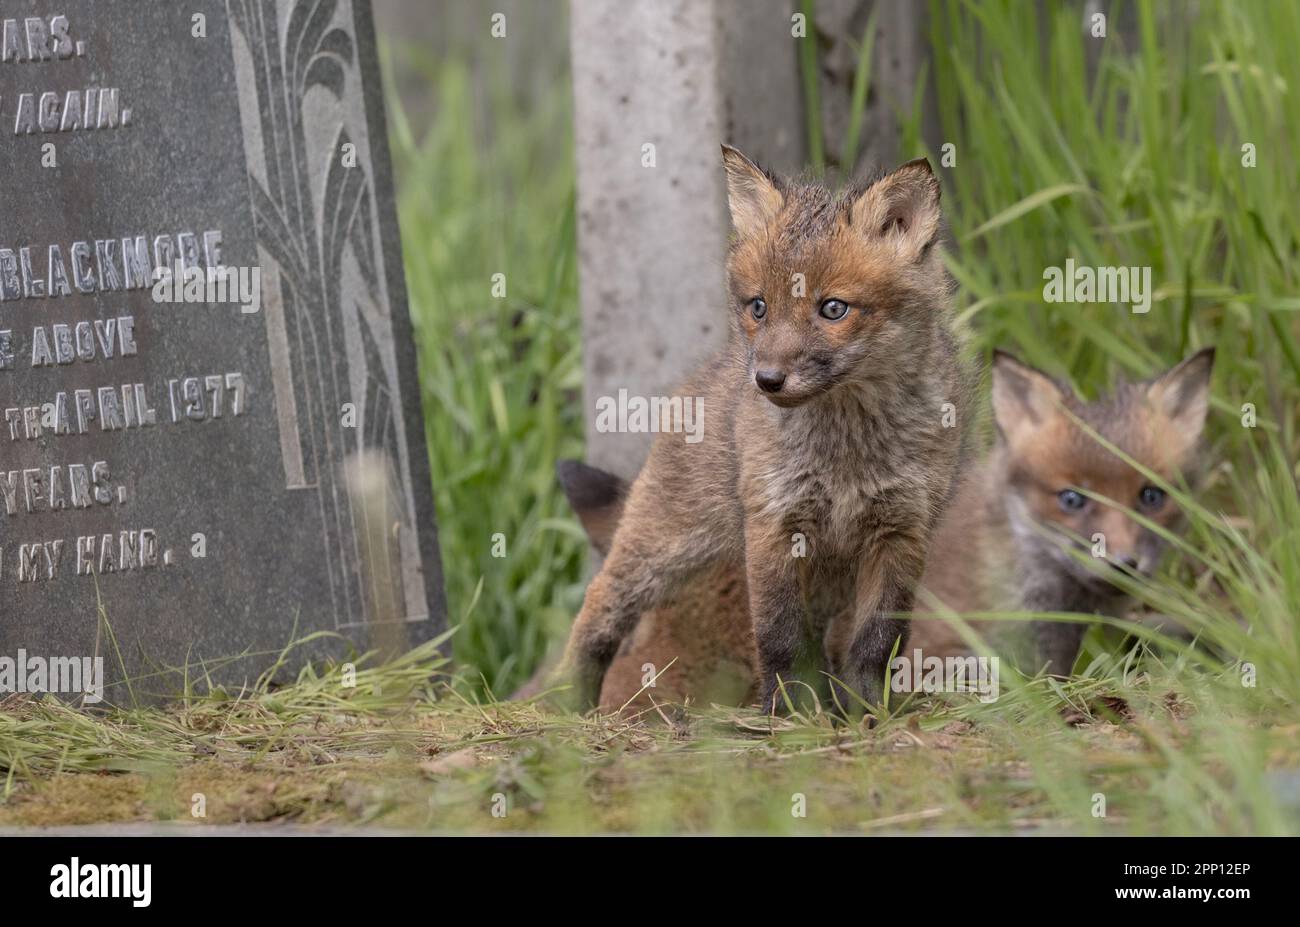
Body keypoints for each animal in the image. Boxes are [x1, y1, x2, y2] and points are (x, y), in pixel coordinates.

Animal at [553, 145, 971, 714]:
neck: (846, 448)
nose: (767, 379)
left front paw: (868, 711)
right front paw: (787, 712)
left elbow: (876, 643)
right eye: (759, 307)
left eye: (833, 308)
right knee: (599, 603)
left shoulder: (902, 530)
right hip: (663, 545)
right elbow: (778, 637)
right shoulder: (775, 524)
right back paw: (567, 700)